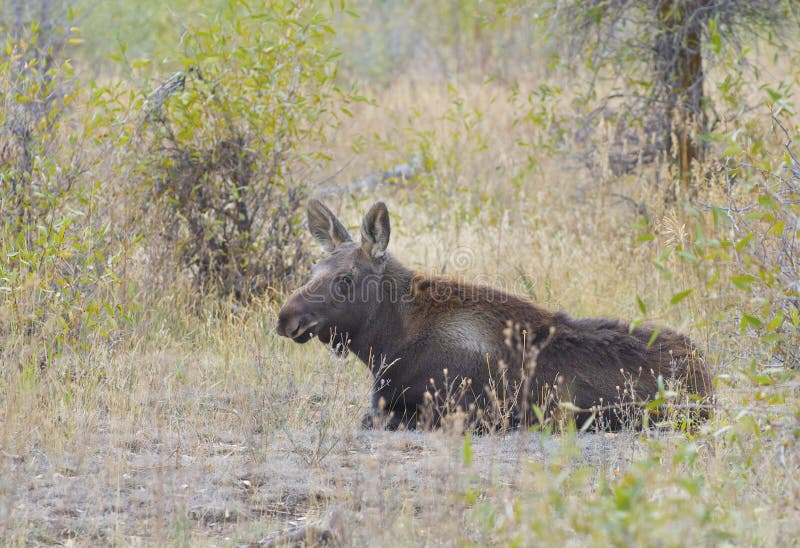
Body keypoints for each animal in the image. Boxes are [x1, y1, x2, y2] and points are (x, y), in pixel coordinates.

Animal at [276, 199, 713, 431]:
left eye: (345, 279)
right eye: (313, 269)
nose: (285, 318)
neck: (385, 345)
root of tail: (707, 374)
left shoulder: (457, 409)